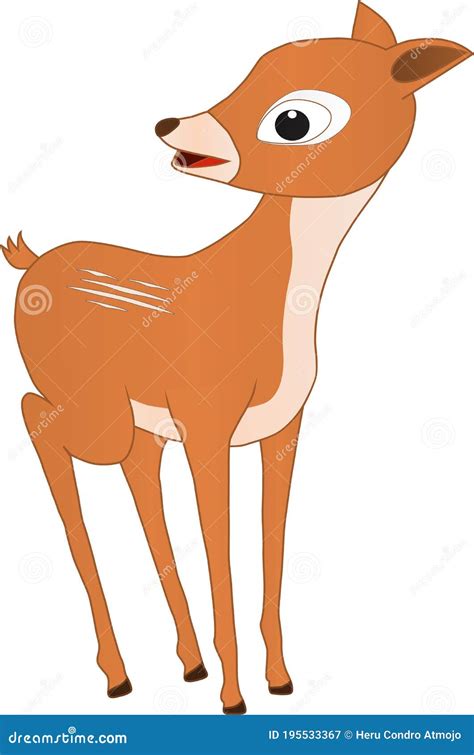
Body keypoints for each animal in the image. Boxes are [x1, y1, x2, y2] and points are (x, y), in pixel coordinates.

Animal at [2, 1, 471, 715]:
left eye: (293, 119)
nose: (169, 125)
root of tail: (32, 262)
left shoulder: (279, 431)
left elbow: (270, 550)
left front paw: (278, 679)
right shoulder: (207, 431)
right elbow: (220, 556)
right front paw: (234, 696)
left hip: (139, 429)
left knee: (136, 477)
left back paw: (185, 664)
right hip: (98, 419)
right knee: (35, 418)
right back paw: (118, 676)